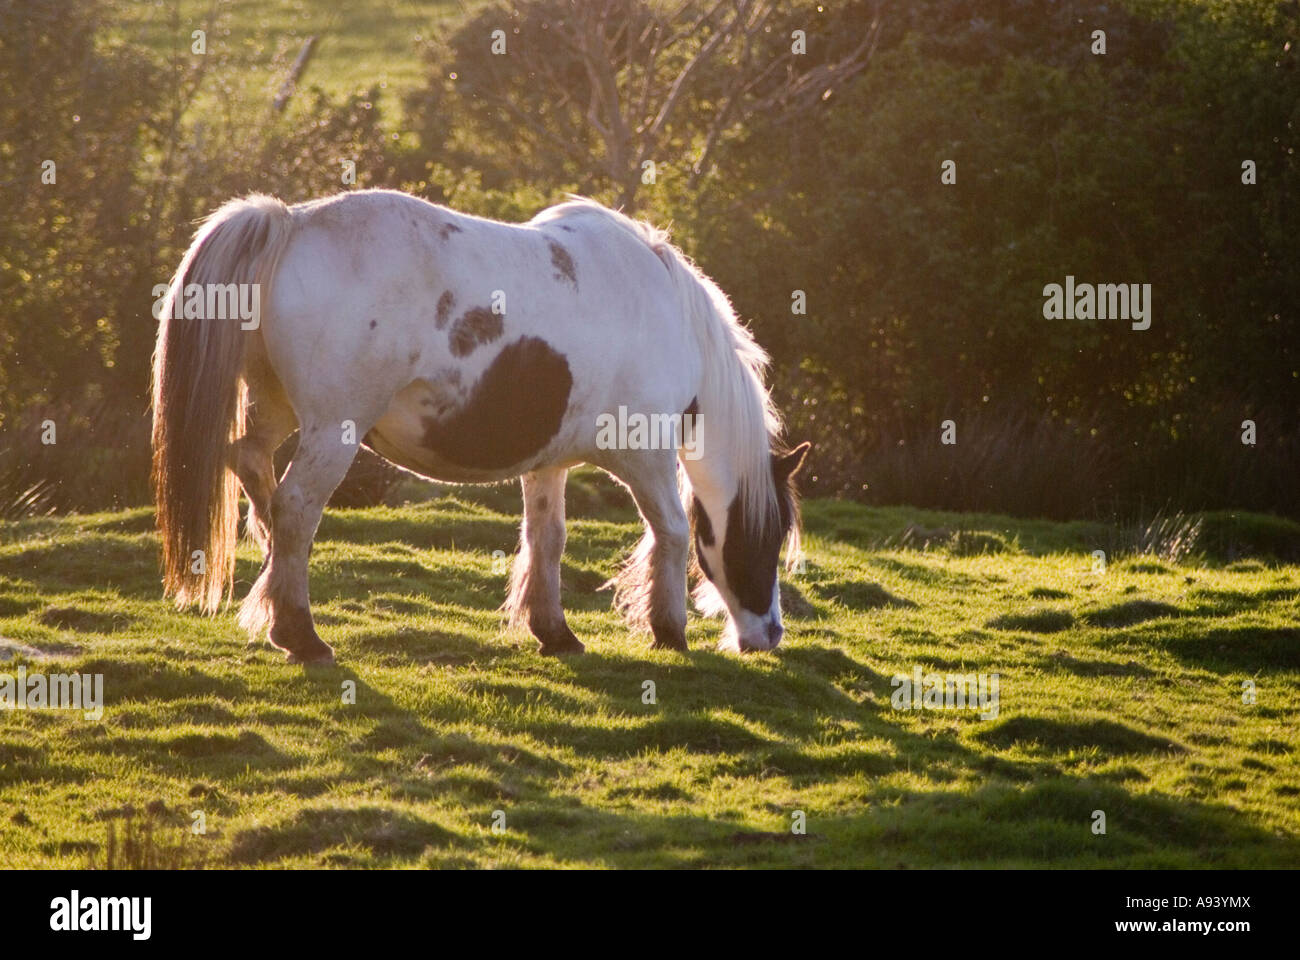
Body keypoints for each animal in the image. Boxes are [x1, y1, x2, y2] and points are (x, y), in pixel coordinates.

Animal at [151, 188, 809, 664]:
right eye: (768, 536)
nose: (770, 634)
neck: (665, 312)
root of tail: (290, 222)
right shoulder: (645, 459)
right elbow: (671, 532)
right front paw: (668, 630)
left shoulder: (550, 463)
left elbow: (547, 539)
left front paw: (554, 632)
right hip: (331, 431)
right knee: (295, 509)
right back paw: (300, 635)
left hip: (279, 410)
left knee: (251, 466)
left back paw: (273, 587)